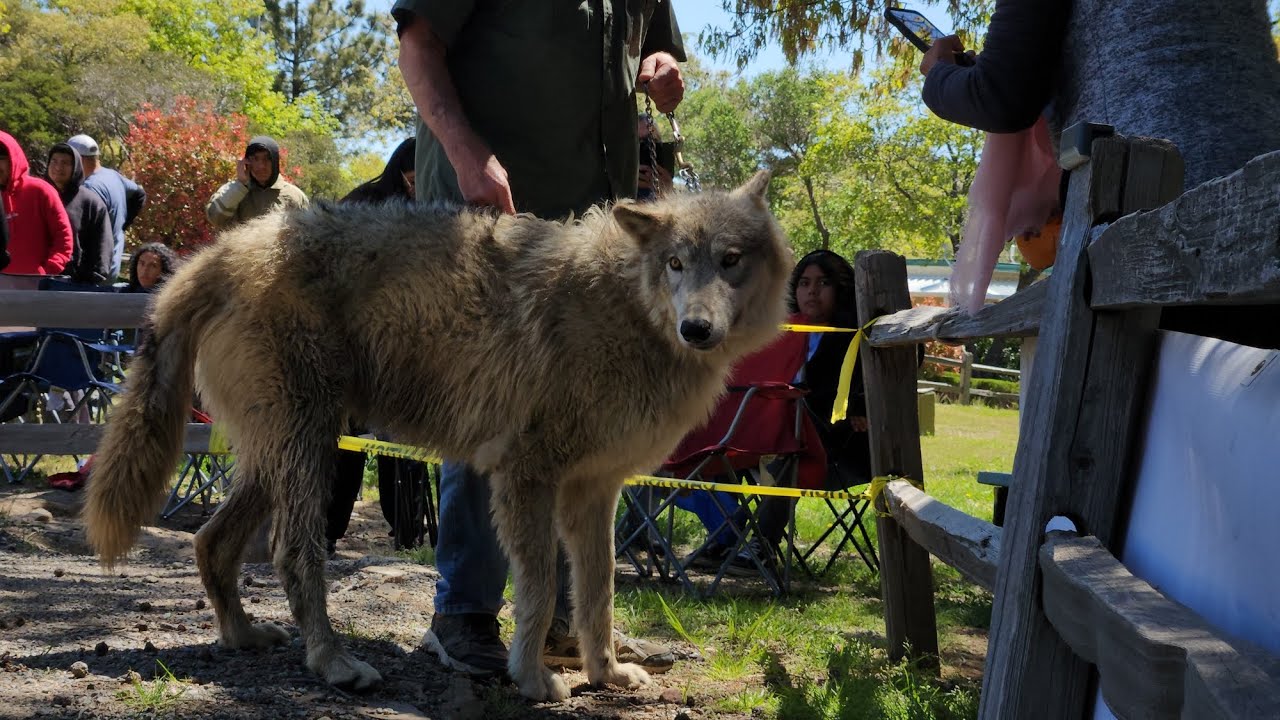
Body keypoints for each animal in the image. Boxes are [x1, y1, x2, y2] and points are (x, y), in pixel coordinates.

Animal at [83, 171, 792, 702]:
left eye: (729, 261)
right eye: (675, 263)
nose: (696, 329)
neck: (626, 309)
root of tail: (219, 253)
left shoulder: (594, 491)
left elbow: (598, 594)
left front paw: (607, 673)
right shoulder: (526, 476)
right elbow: (538, 589)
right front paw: (533, 678)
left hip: (278, 458)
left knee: (209, 540)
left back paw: (243, 637)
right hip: (311, 454)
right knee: (291, 556)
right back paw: (333, 665)